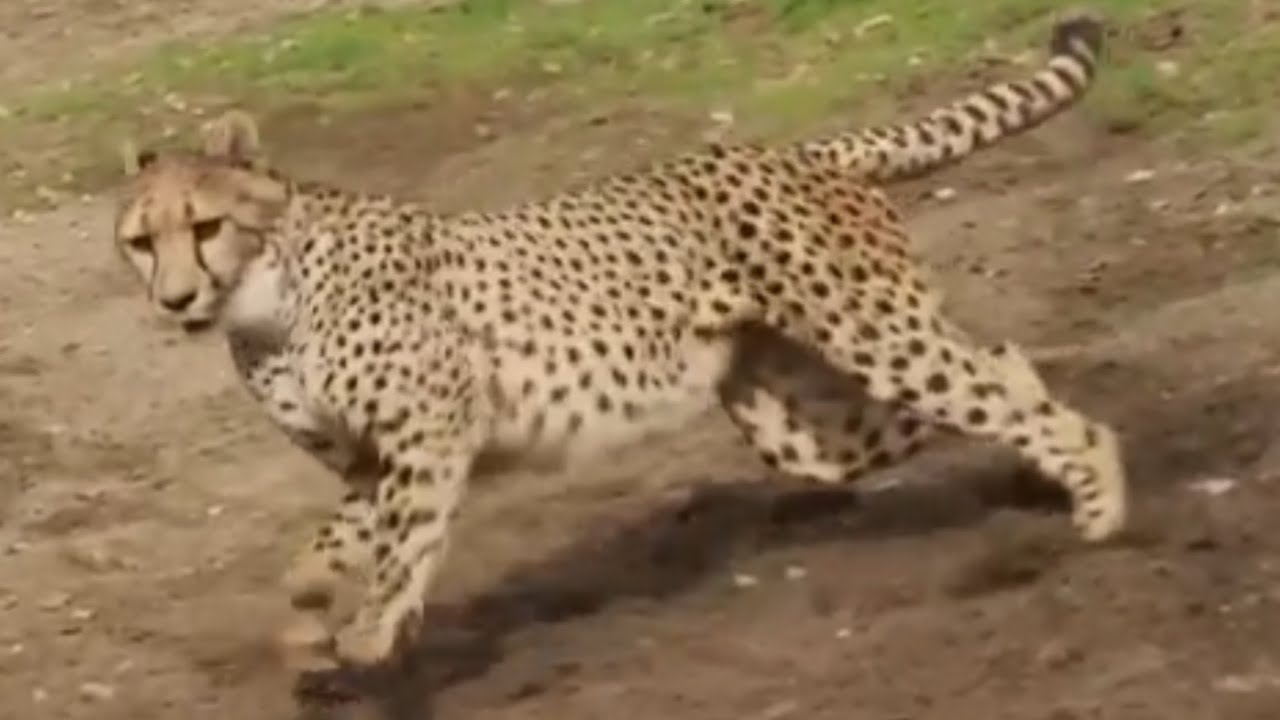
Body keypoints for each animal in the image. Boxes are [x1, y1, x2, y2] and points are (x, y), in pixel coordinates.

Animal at [111, 13, 1126, 675]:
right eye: (139, 241)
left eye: (203, 227)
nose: (175, 298)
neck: (267, 298)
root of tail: (803, 150)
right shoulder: (369, 460)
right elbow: (321, 551)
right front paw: (309, 621)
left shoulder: (429, 438)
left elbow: (405, 543)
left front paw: (373, 631)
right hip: (802, 421)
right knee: (1000, 371)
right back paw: (1042, 479)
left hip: (872, 335)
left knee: (1000, 386)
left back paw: (1101, 507)